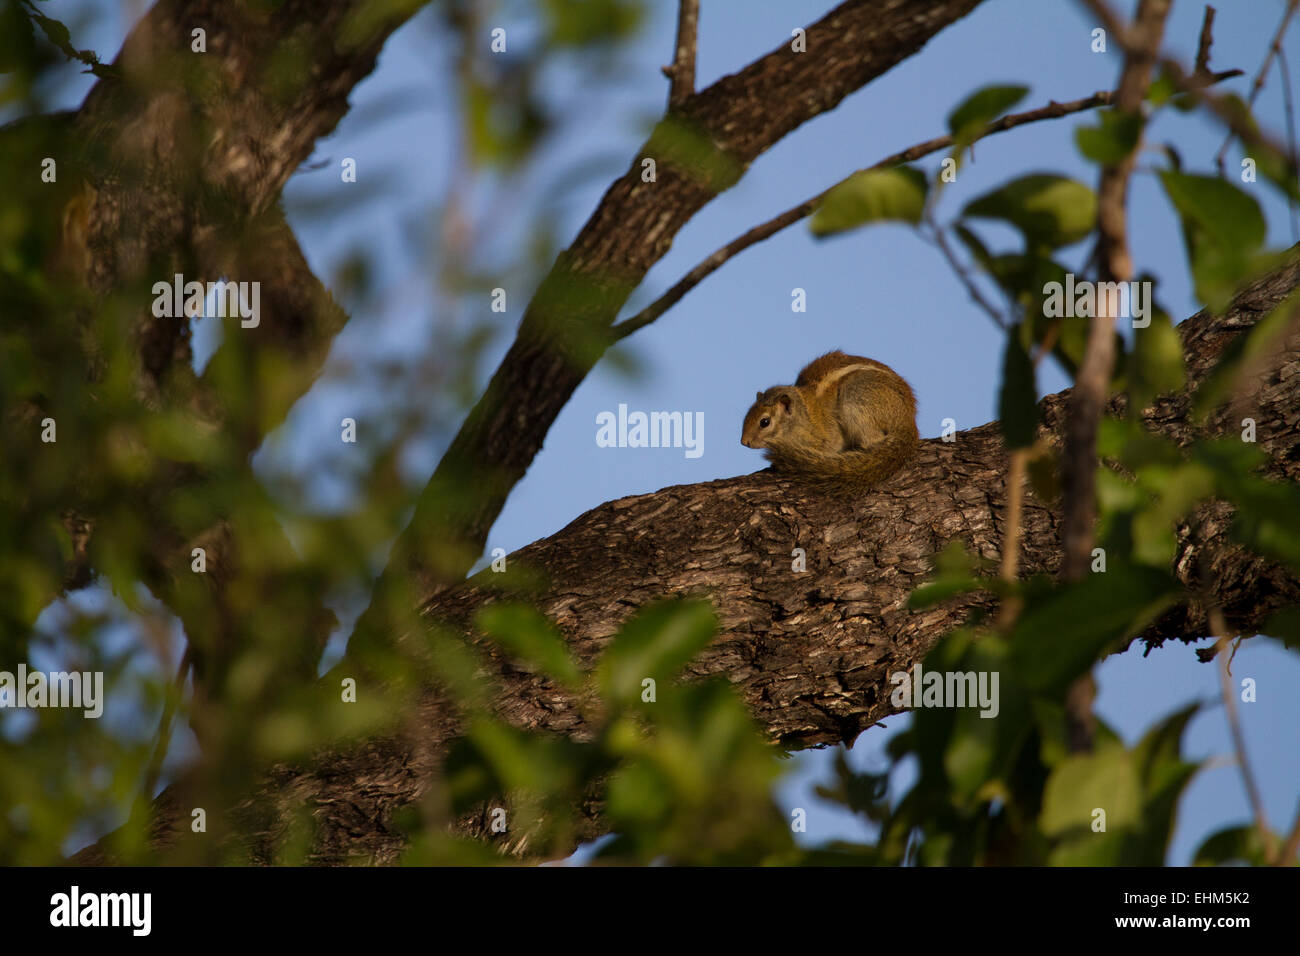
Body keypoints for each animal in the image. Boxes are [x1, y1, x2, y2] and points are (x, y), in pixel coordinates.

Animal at [741, 350, 919, 483]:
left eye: (765, 422)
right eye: (747, 414)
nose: (744, 442)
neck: (803, 417)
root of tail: (906, 418)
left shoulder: (830, 435)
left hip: (856, 401)